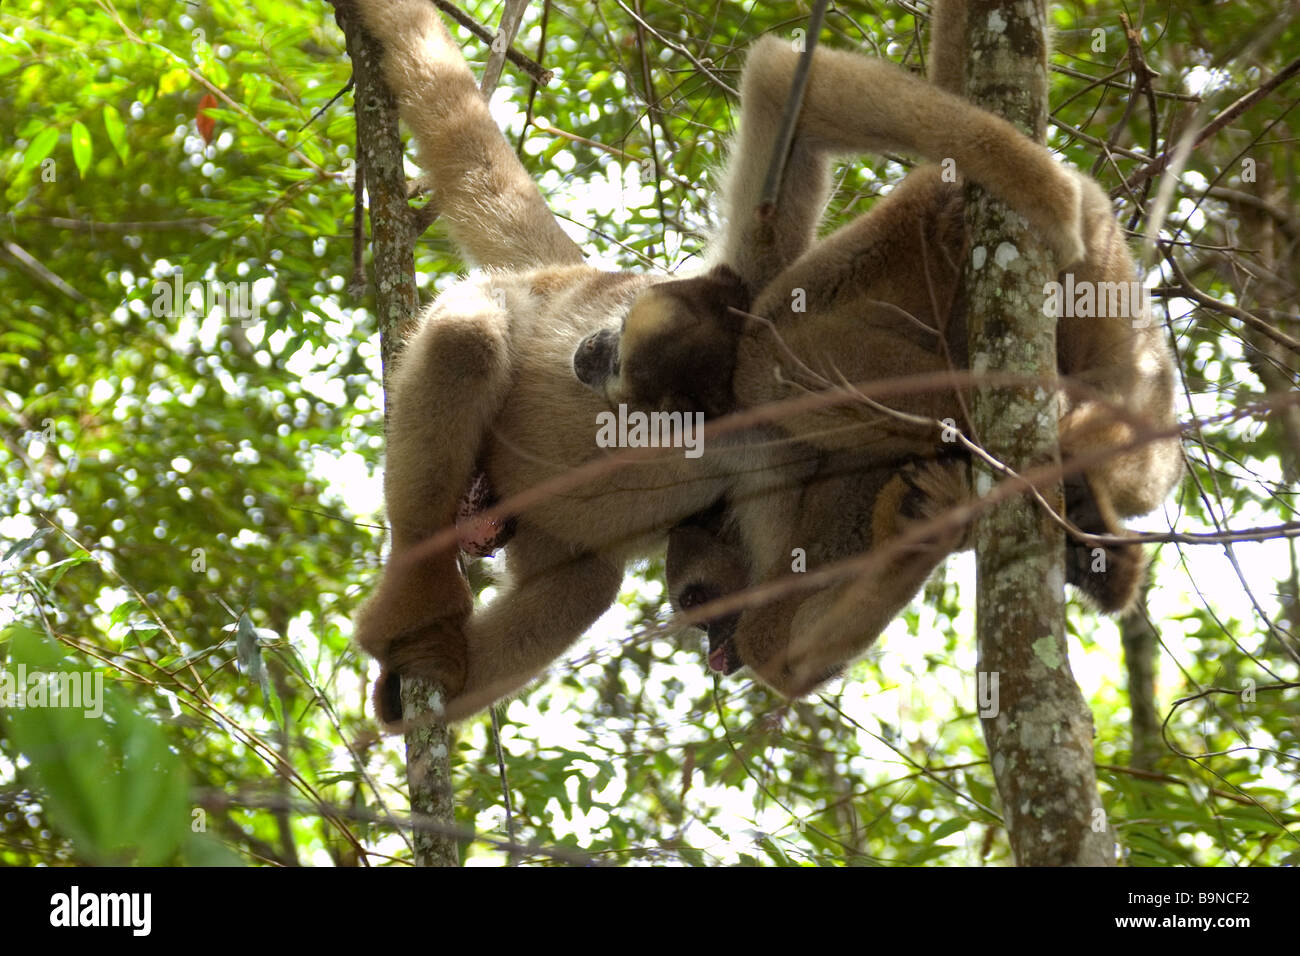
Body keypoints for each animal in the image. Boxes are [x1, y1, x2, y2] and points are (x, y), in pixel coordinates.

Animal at [348, 0, 1118, 726]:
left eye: (700, 604)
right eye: (615, 345)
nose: (590, 351)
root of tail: (568, 273)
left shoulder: (777, 435)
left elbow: (781, 645)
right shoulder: (759, 305)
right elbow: (784, 89)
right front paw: (1038, 182)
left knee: (579, 588)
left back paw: (417, 684)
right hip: (514, 315)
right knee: (468, 337)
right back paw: (418, 607)